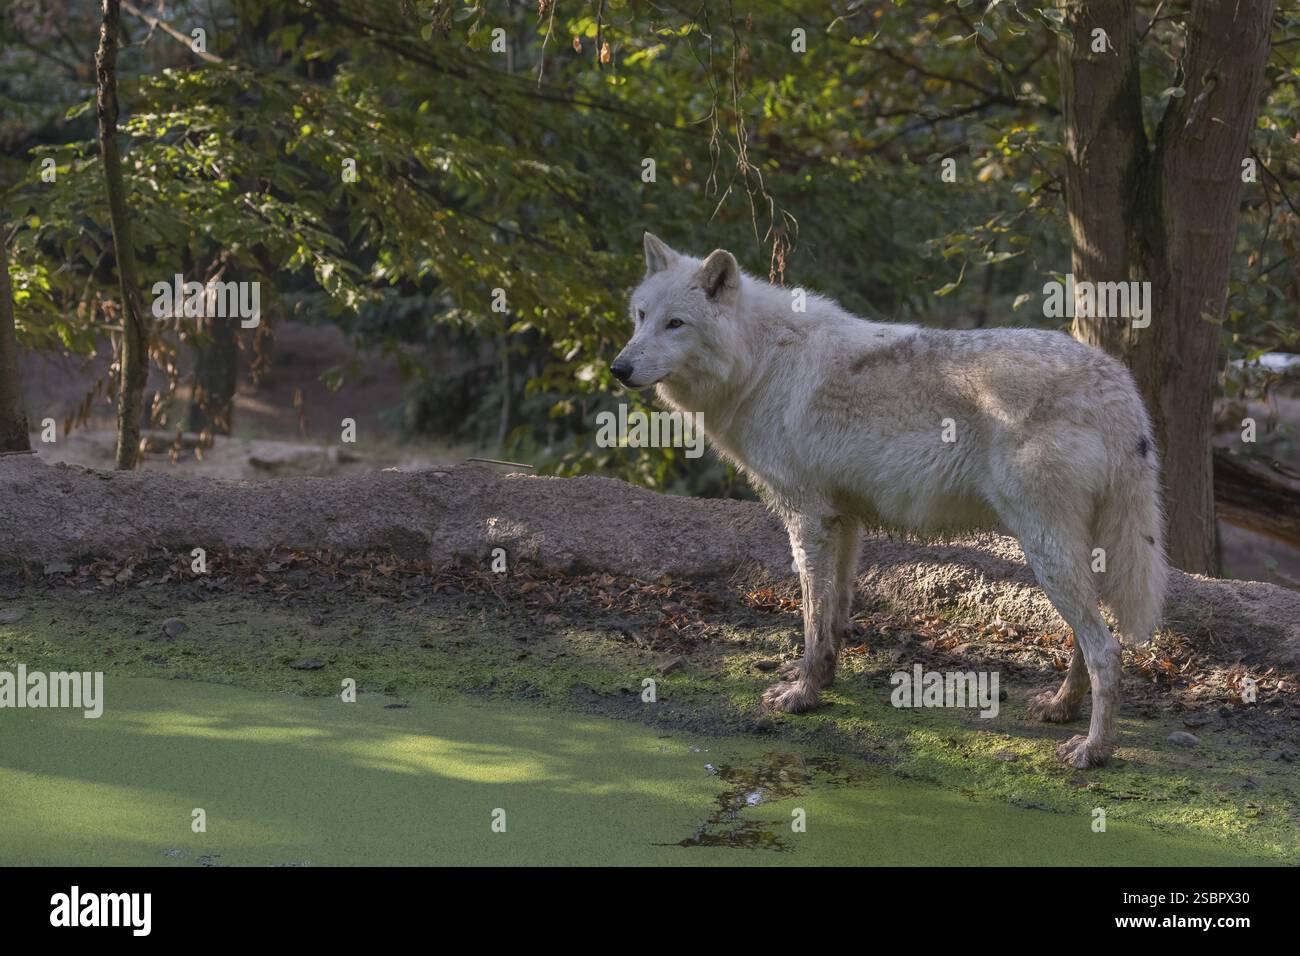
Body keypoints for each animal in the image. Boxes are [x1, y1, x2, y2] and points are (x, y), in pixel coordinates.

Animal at [612, 233, 1168, 768]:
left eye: (676, 324)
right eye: (640, 316)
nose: (619, 368)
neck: (759, 362)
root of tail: (1116, 384)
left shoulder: (806, 517)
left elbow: (811, 618)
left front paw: (801, 695)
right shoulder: (844, 519)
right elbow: (833, 614)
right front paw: (822, 678)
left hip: (1045, 549)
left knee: (1107, 651)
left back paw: (1093, 750)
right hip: (1071, 552)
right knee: (1089, 638)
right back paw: (1060, 707)